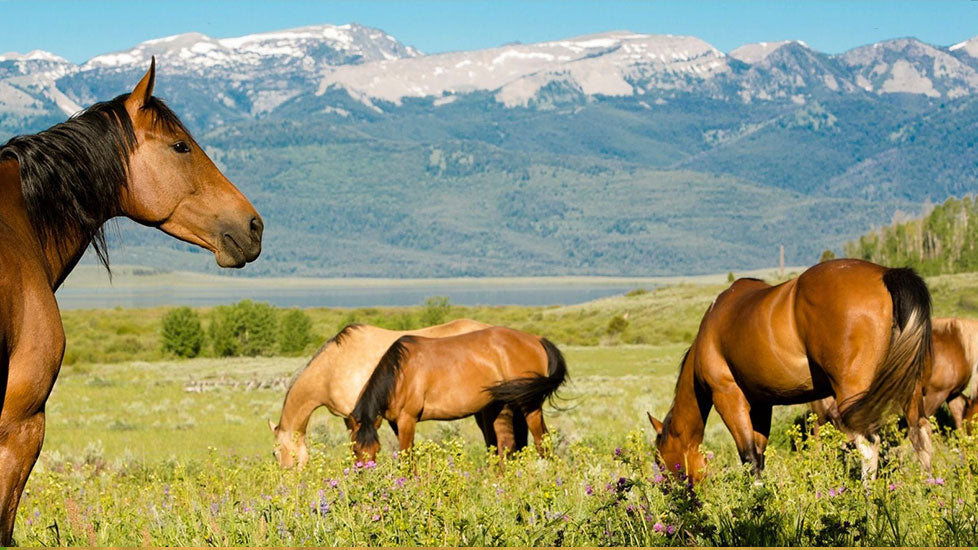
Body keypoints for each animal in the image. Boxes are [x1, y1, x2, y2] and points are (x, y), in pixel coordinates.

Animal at [350, 326, 567, 461]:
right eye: (355, 449)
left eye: (376, 449)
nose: (364, 477)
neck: (400, 374)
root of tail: (536, 340)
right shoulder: (397, 423)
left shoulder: (407, 420)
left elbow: (407, 458)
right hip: (500, 406)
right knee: (506, 446)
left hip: (529, 404)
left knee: (542, 443)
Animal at [648, 259, 932, 483]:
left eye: (661, 460)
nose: (672, 492)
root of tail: (885, 274)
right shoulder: (761, 405)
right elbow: (760, 456)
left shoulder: (727, 397)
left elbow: (749, 458)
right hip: (909, 390)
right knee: (921, 436)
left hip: (854, 395)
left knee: (868, 446)